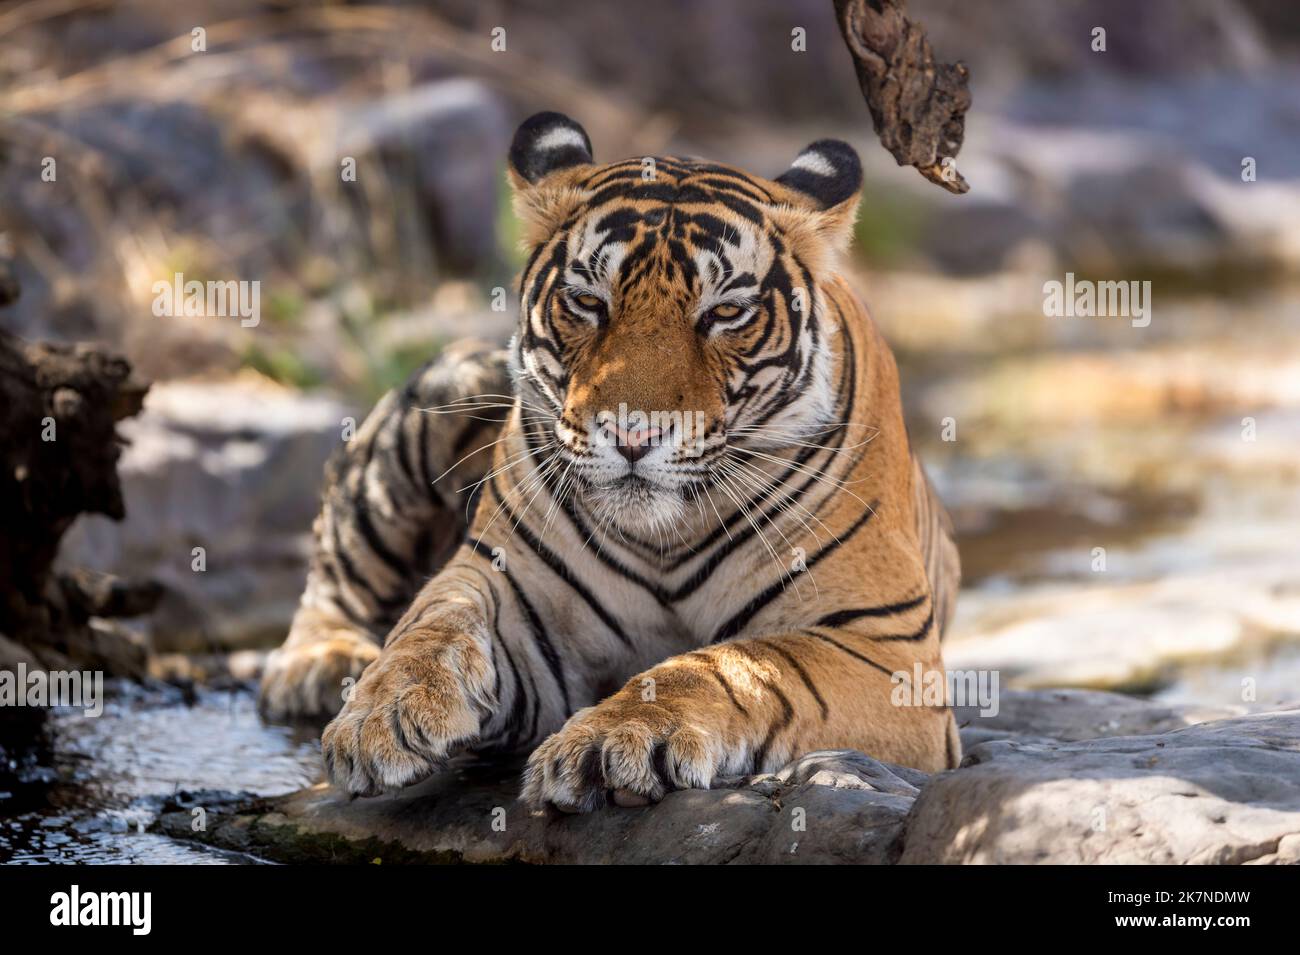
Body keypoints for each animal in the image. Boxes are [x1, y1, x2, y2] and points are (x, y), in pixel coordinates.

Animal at [258, 111, 962, 812]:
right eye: (589, 303)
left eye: (725, 312)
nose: (632, 432)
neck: (665, 537)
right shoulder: (505, 586)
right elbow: (434, 621)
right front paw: (385, 712)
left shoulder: (884, 646)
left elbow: (742, 665)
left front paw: (616, 739)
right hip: (446, 388)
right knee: (338, 573)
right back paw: (321, 666)